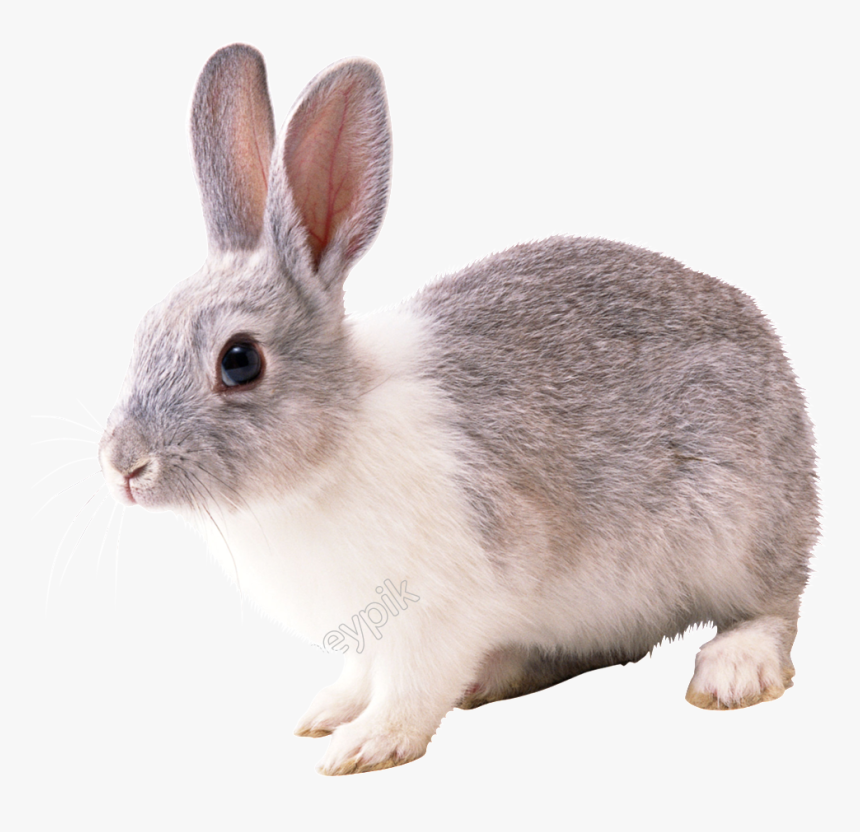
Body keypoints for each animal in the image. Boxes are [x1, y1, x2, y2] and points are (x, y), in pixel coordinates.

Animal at [98, 43, 819, 776]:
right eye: (143, 332)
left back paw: (733, 671)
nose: (123, 465)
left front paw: (365, 745)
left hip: (735, 531)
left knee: (776, 606)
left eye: (239, 360)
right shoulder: (371, 634)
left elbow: (411, 687)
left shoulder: (438, 609)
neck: (334, 440)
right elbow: (362, 676)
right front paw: (327, 713)